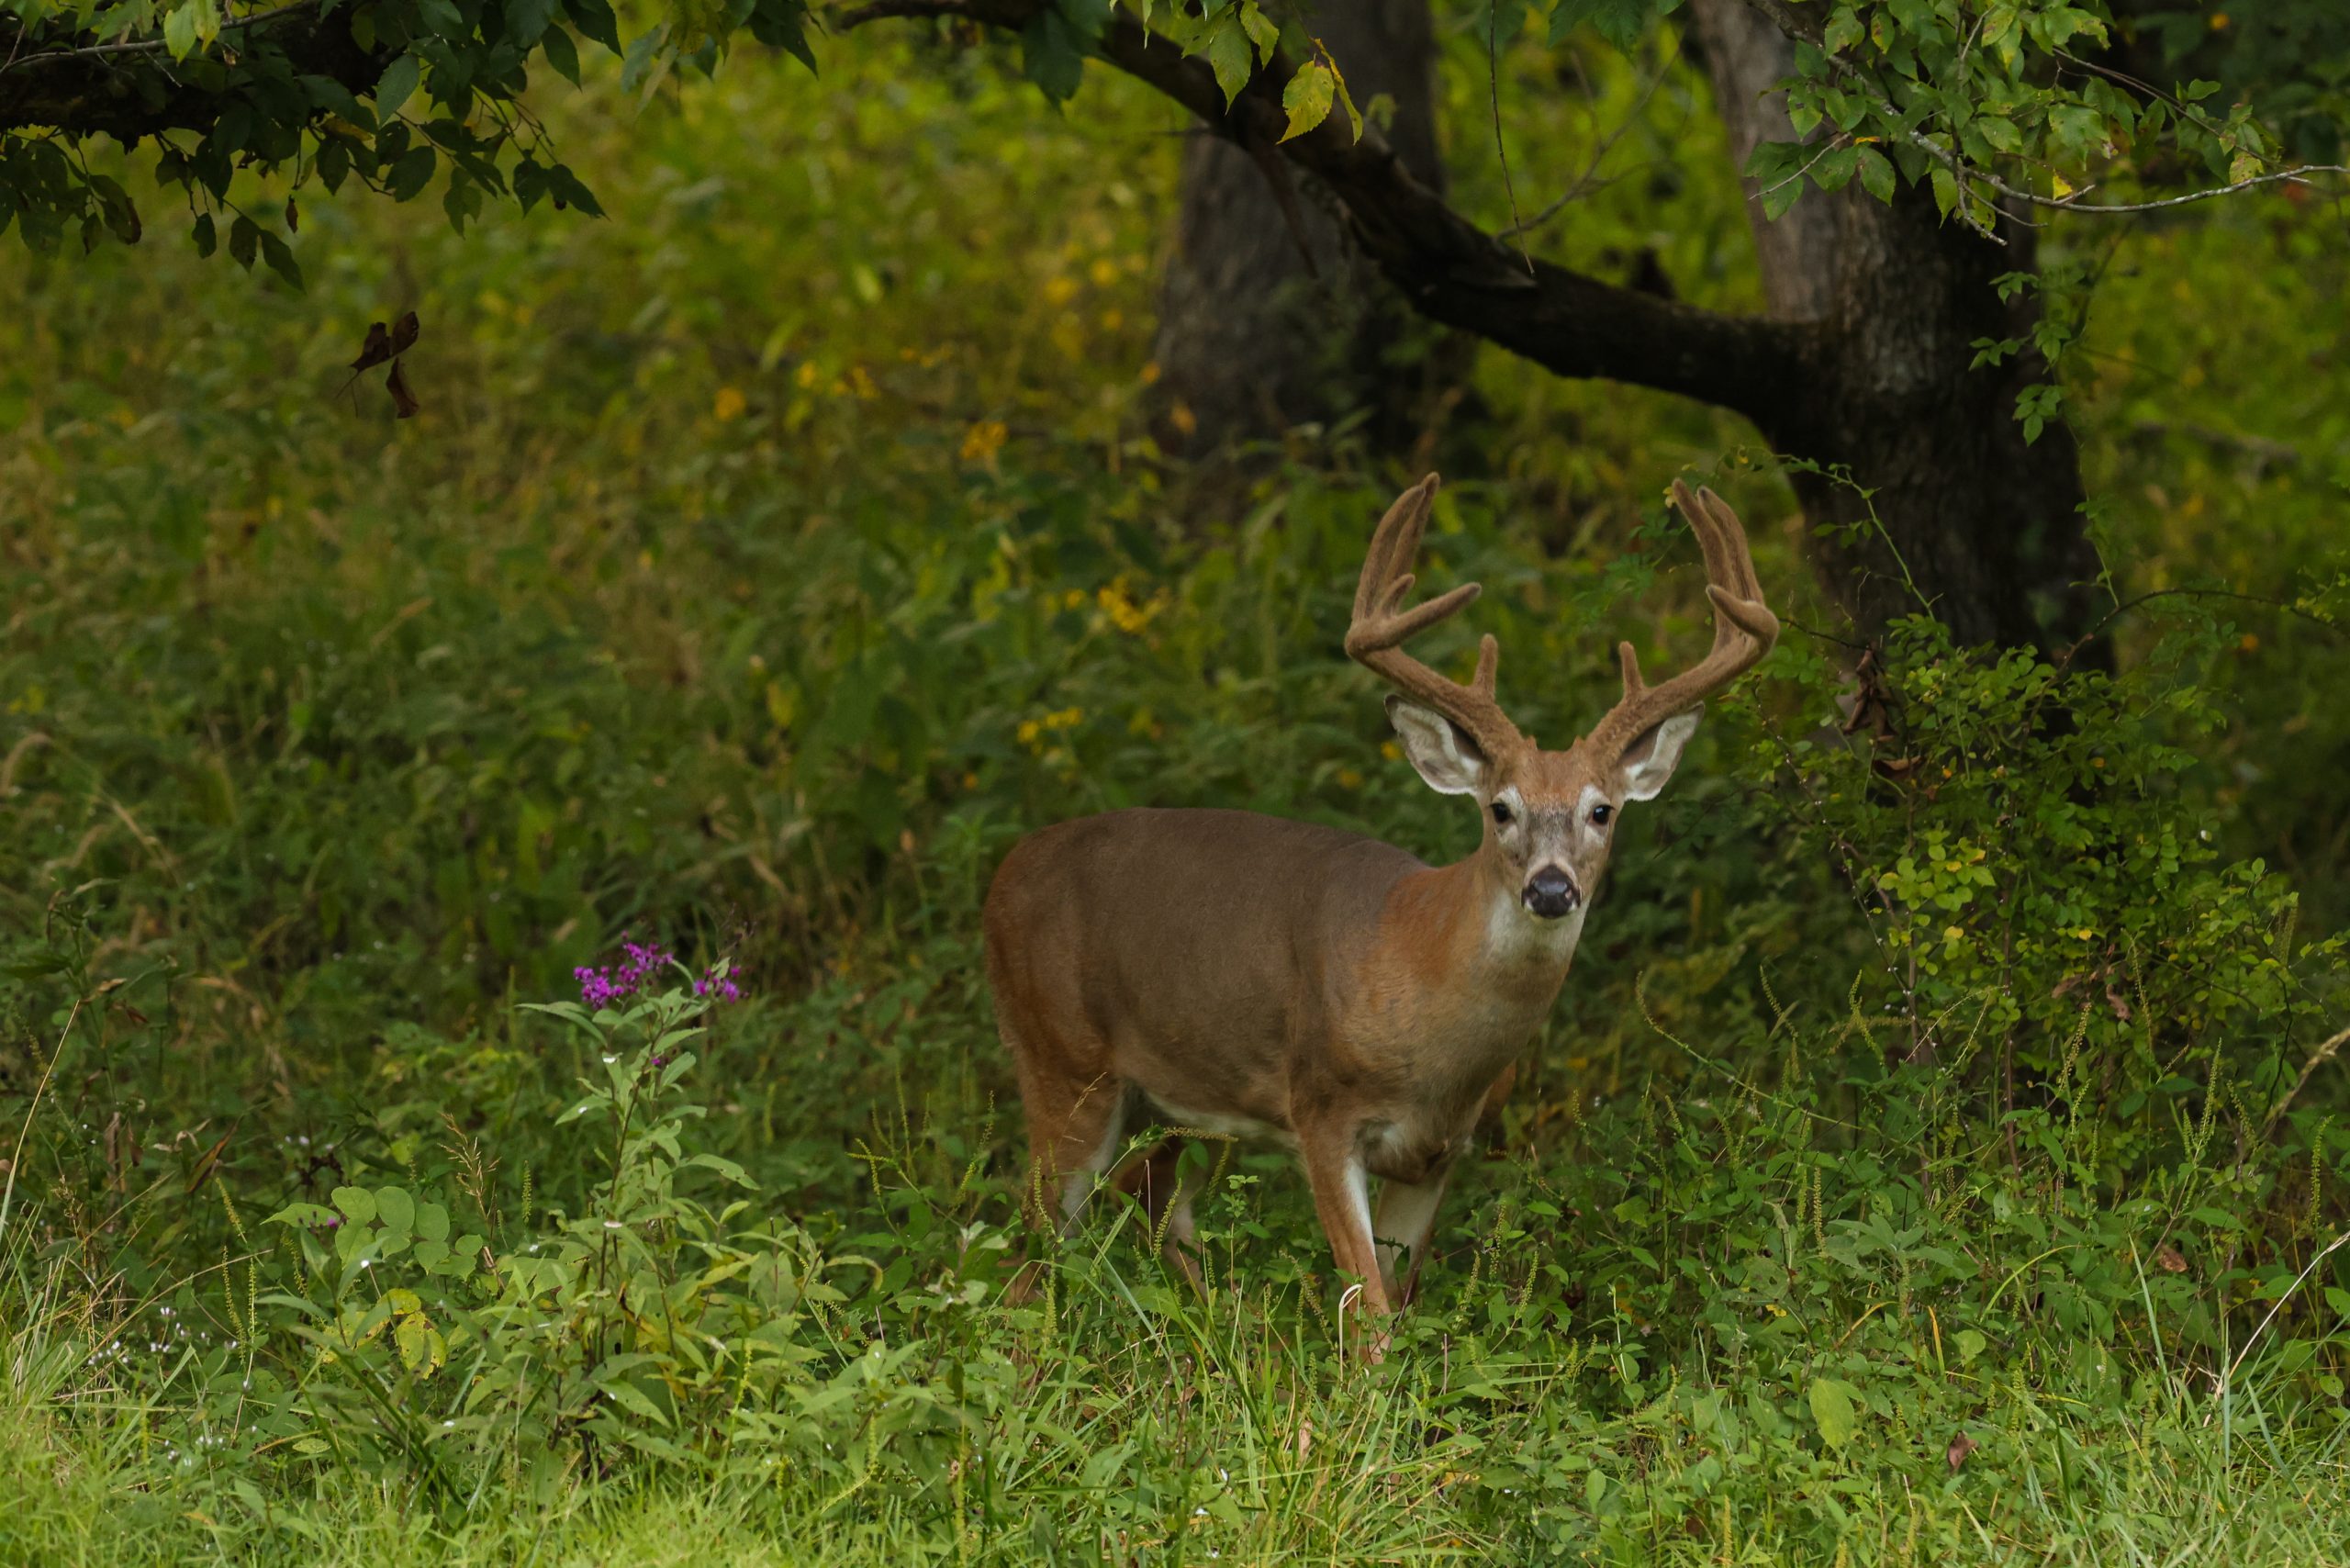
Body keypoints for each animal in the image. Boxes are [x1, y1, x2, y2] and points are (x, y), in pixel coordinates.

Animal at [982, 473, 1777, 1346]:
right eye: (1500, 808)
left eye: (1602, 811)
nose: (1551, 888)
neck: (1429, 993)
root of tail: (1004, 873)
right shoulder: (1320, 1107)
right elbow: (1370, 1320)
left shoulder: (1443, 1149)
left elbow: (1401, 1298)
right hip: (1062, 1059)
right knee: (1032, 1247)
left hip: (1188, 1104)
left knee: (1153, 1202)